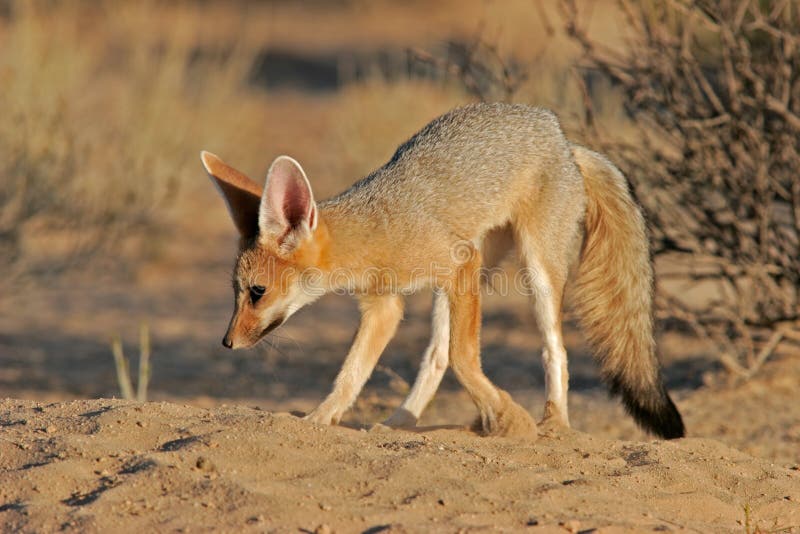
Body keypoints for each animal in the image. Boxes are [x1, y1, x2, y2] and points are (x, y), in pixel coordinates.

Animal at [200, 102, 685, 440]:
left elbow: (463, 357)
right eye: (236, 292)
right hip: (466, 275)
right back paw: (401, 420)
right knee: (434, 355)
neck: (375, 229)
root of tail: (563, 138)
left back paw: (553, 423)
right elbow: (352, 373)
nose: (226, 342)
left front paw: (507, 416)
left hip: (531, 272)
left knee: (555, 351)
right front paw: (321, 417)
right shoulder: (385, 305)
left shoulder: (457, 263)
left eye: (256, 292)